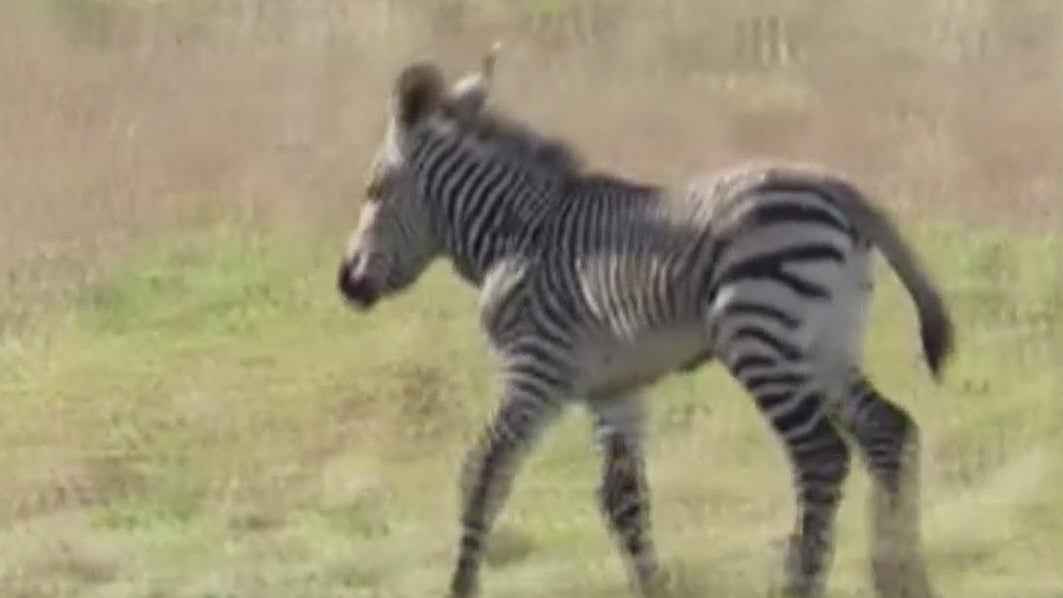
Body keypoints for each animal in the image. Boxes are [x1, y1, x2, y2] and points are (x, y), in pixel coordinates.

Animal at [337, 46, 953, 598]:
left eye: (373, 189)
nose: (347, 282)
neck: (517, 236)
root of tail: (836, 187)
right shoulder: (615, 388)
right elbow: (624, 499)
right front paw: (653, 585)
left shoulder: (535, 368)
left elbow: (484, 472)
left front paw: (461, 585)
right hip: (823, 345)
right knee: (889, 433)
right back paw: (902, 579)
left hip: (761, 337)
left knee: (822, 457)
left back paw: (800, 584)